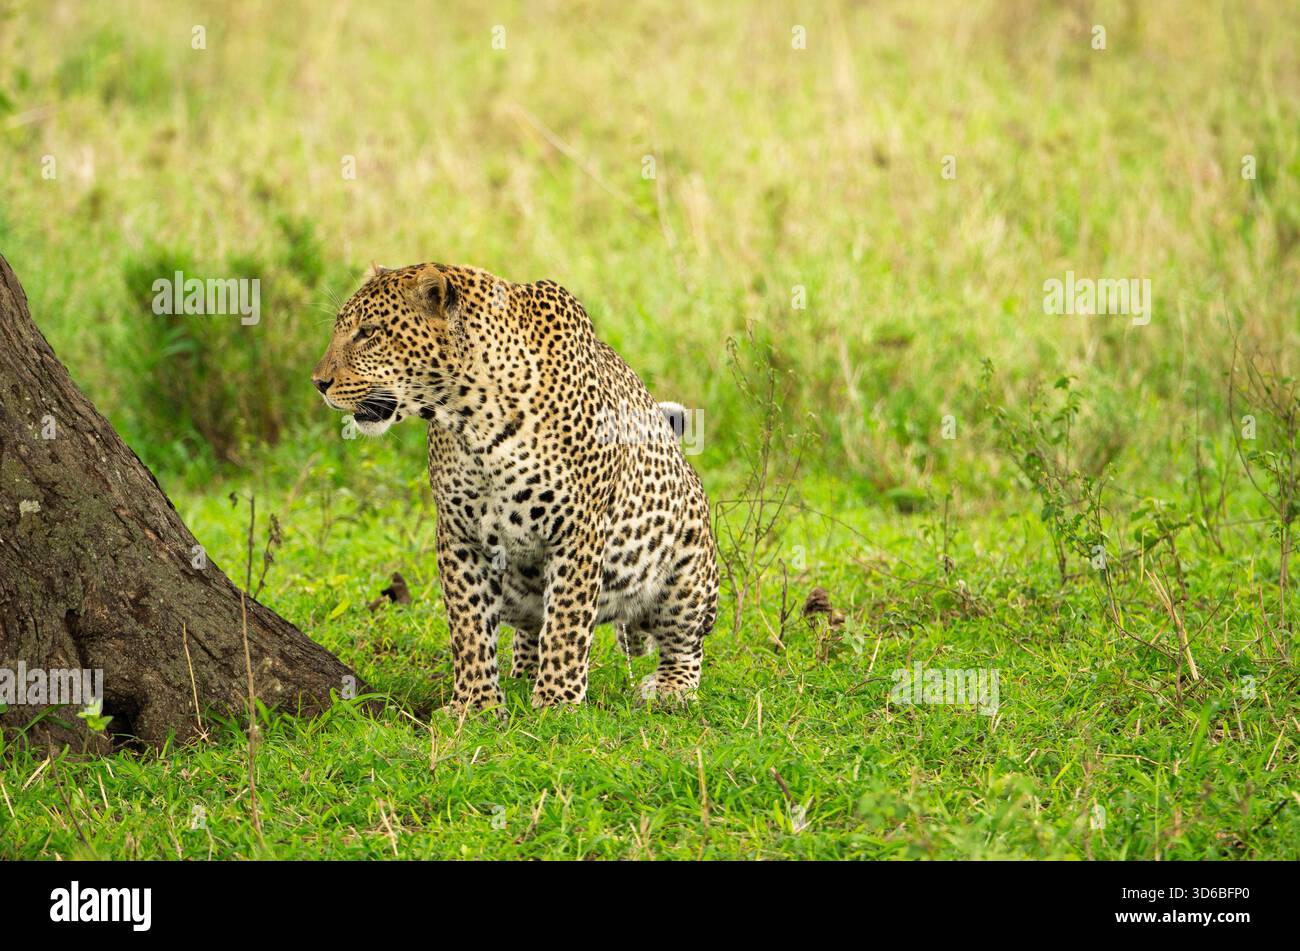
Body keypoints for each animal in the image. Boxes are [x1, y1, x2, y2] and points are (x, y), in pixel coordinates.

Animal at [311, 262, 718, 714]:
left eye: (368, 332)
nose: (318, 382)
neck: (473, 418)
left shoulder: (578, 531)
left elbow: (567, 623)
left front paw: (557, 702)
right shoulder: (459, 534)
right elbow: (469, 626)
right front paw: (474, 704)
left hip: (686, 571)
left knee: (685, 642)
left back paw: (669, 687)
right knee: (529, 628)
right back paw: (522, 674)